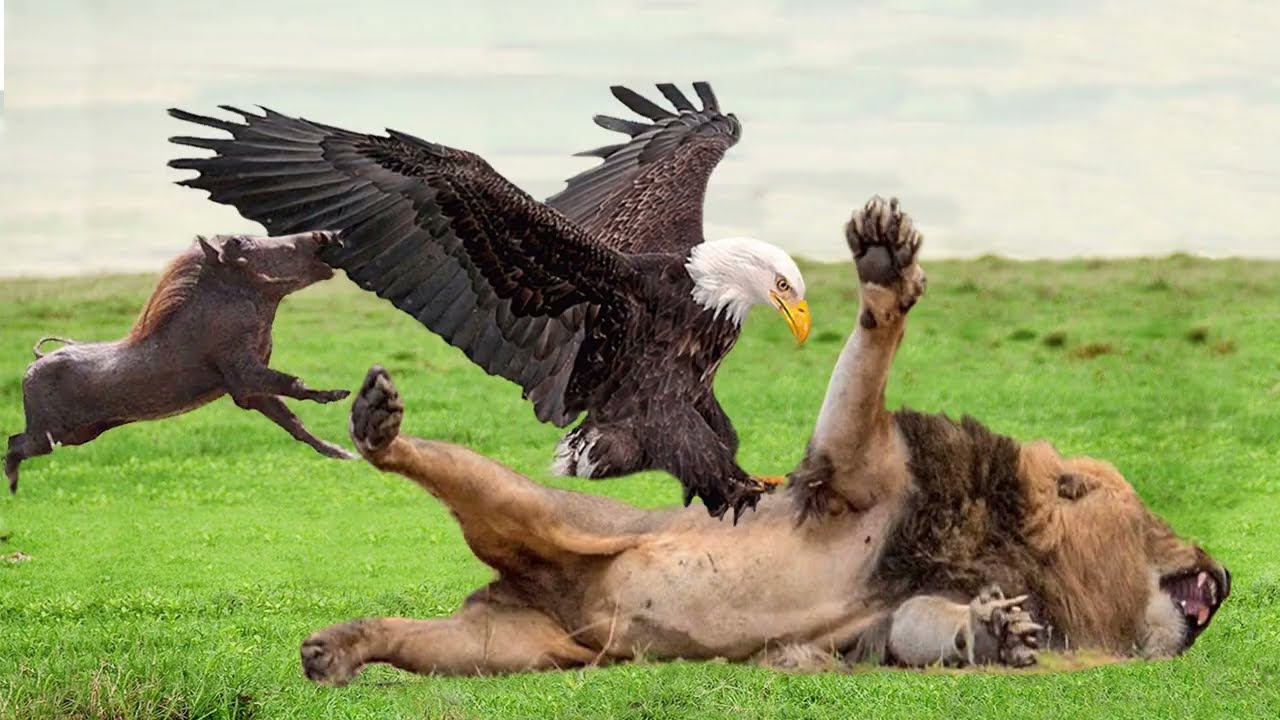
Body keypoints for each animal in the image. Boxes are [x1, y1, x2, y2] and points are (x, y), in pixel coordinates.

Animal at [299, 197, 1230, 684]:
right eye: (1135, 509)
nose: (1218, 571)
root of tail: (540, 588)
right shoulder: (853, 468)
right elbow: (868, 361)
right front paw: (886, 265)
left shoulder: (880, 624)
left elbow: (925, 629)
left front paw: (997, 637)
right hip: (541, 509)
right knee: (422, 461)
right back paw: (376, 424)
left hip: (508, 648)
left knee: (422, 637)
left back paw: (339, 648)